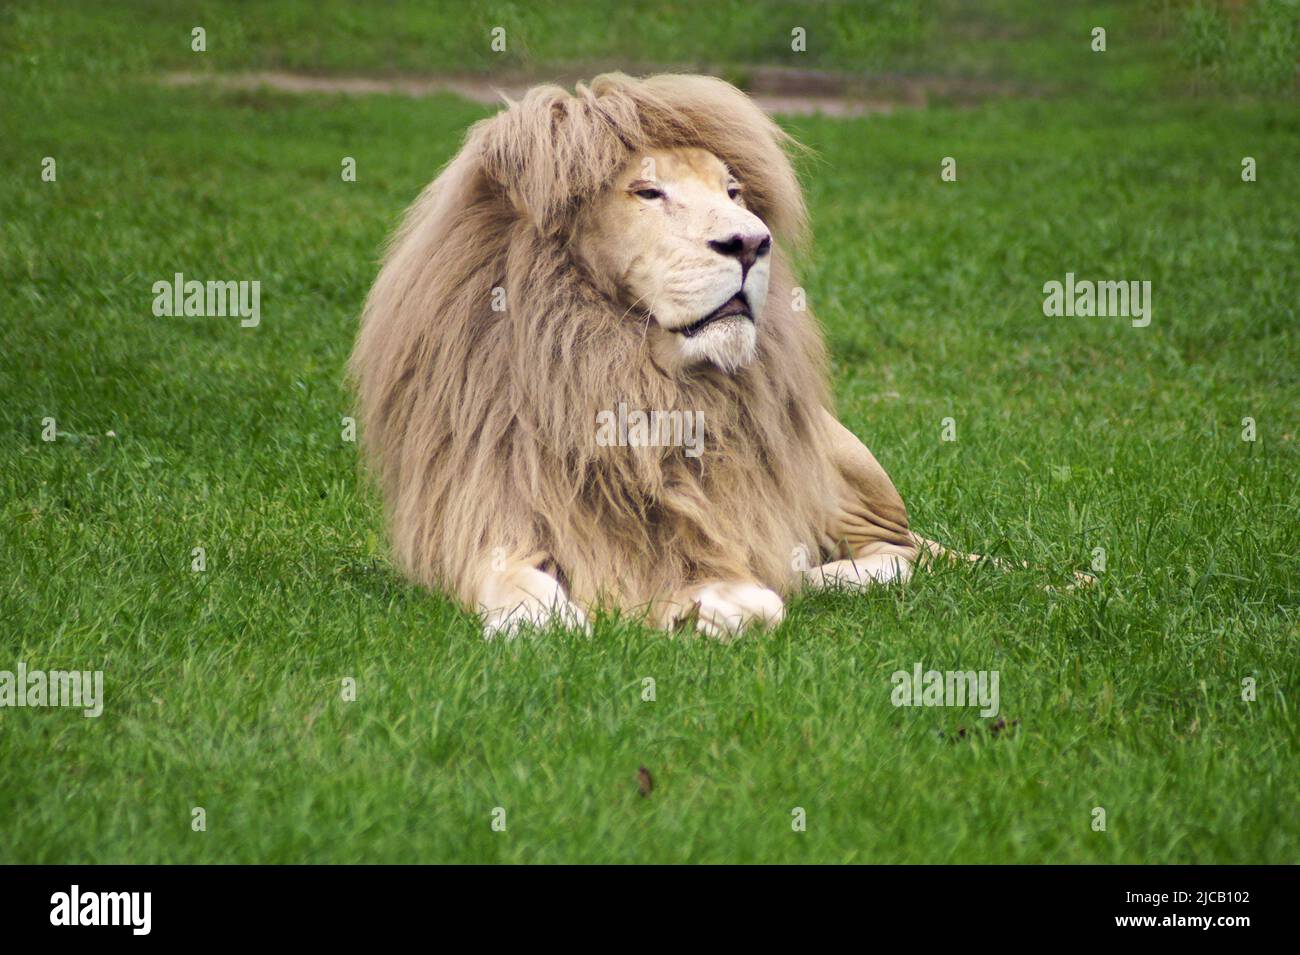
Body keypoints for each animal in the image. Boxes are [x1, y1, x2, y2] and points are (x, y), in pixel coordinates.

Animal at [351, 72, 977, 639]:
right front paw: (538, 618)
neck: (622, 374)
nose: (753, 242)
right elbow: (513, 582)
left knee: (899, 555)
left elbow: (755, 593)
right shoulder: (484, 514)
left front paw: (709, 607)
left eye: (733, 193)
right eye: (648, 192)